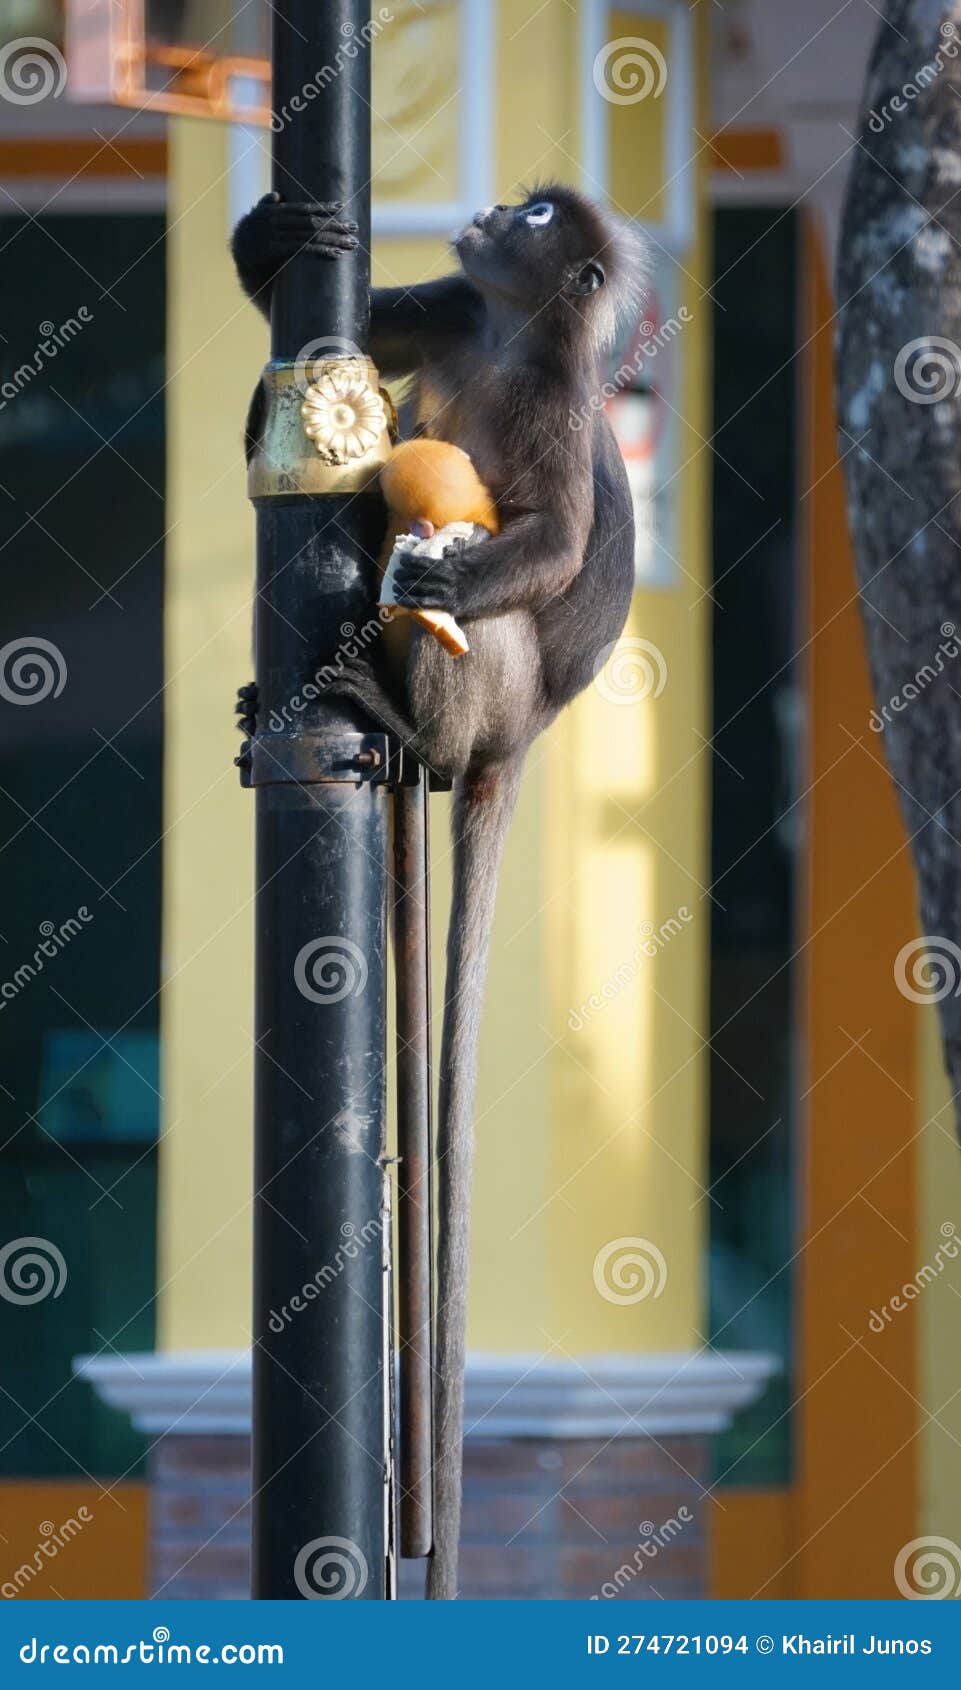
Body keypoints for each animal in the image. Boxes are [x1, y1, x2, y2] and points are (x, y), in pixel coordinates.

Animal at [232, 185, 646, 1600]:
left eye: (537, 215)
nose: (488, 209)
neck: (513, 334)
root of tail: (518, 739)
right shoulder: (465, 308)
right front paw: (273, 239)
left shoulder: (559, 394)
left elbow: (551, 542)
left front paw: (454, 576)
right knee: (386, 507)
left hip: (498, 689)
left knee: (463, 586)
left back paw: (409, 706)